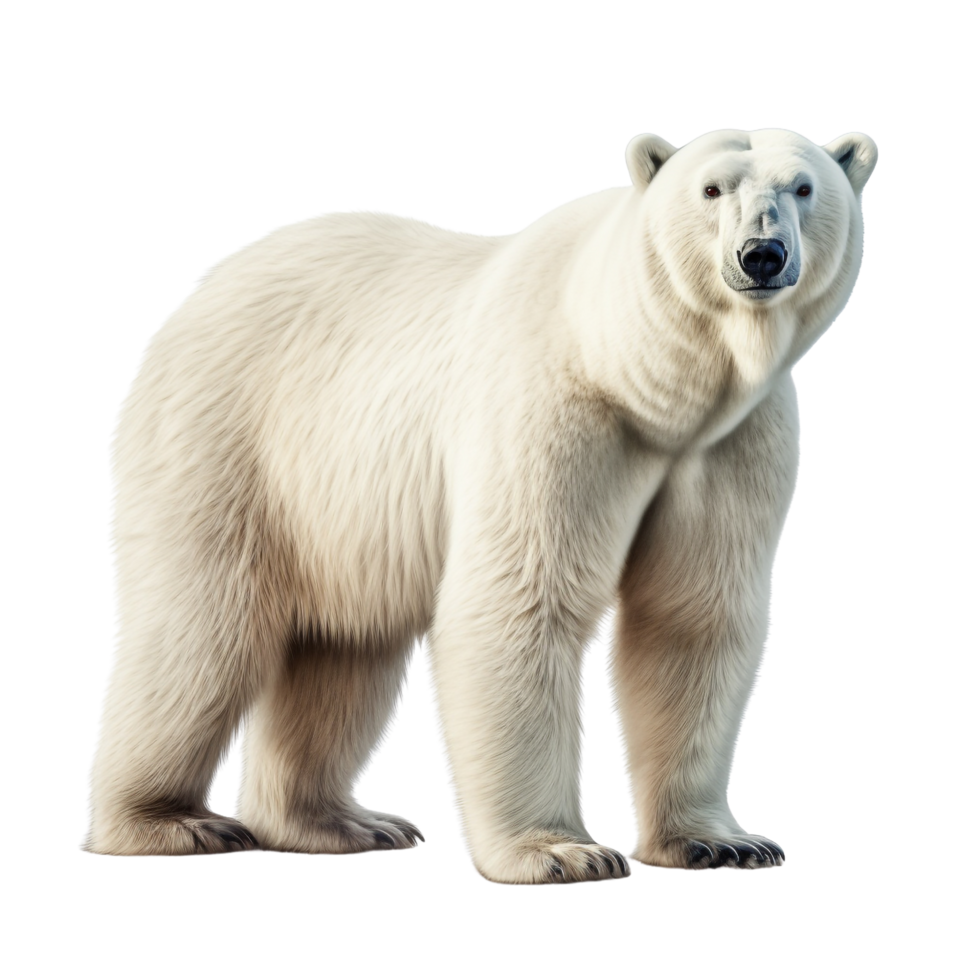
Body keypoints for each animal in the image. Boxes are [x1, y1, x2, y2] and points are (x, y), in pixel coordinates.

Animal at [83, 128, 877, 885]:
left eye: (803, 187)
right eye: (711, 188)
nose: (762, 255)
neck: (645, 376)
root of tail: (198, 292)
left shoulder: (729, 445)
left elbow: (692, 616)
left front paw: (716, 842)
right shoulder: (550, 411)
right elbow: (523, 599)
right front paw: (562, 851)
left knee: (342, 646)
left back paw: (345, 824)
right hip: (229, 441)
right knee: (202, 632)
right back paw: (172, 821)